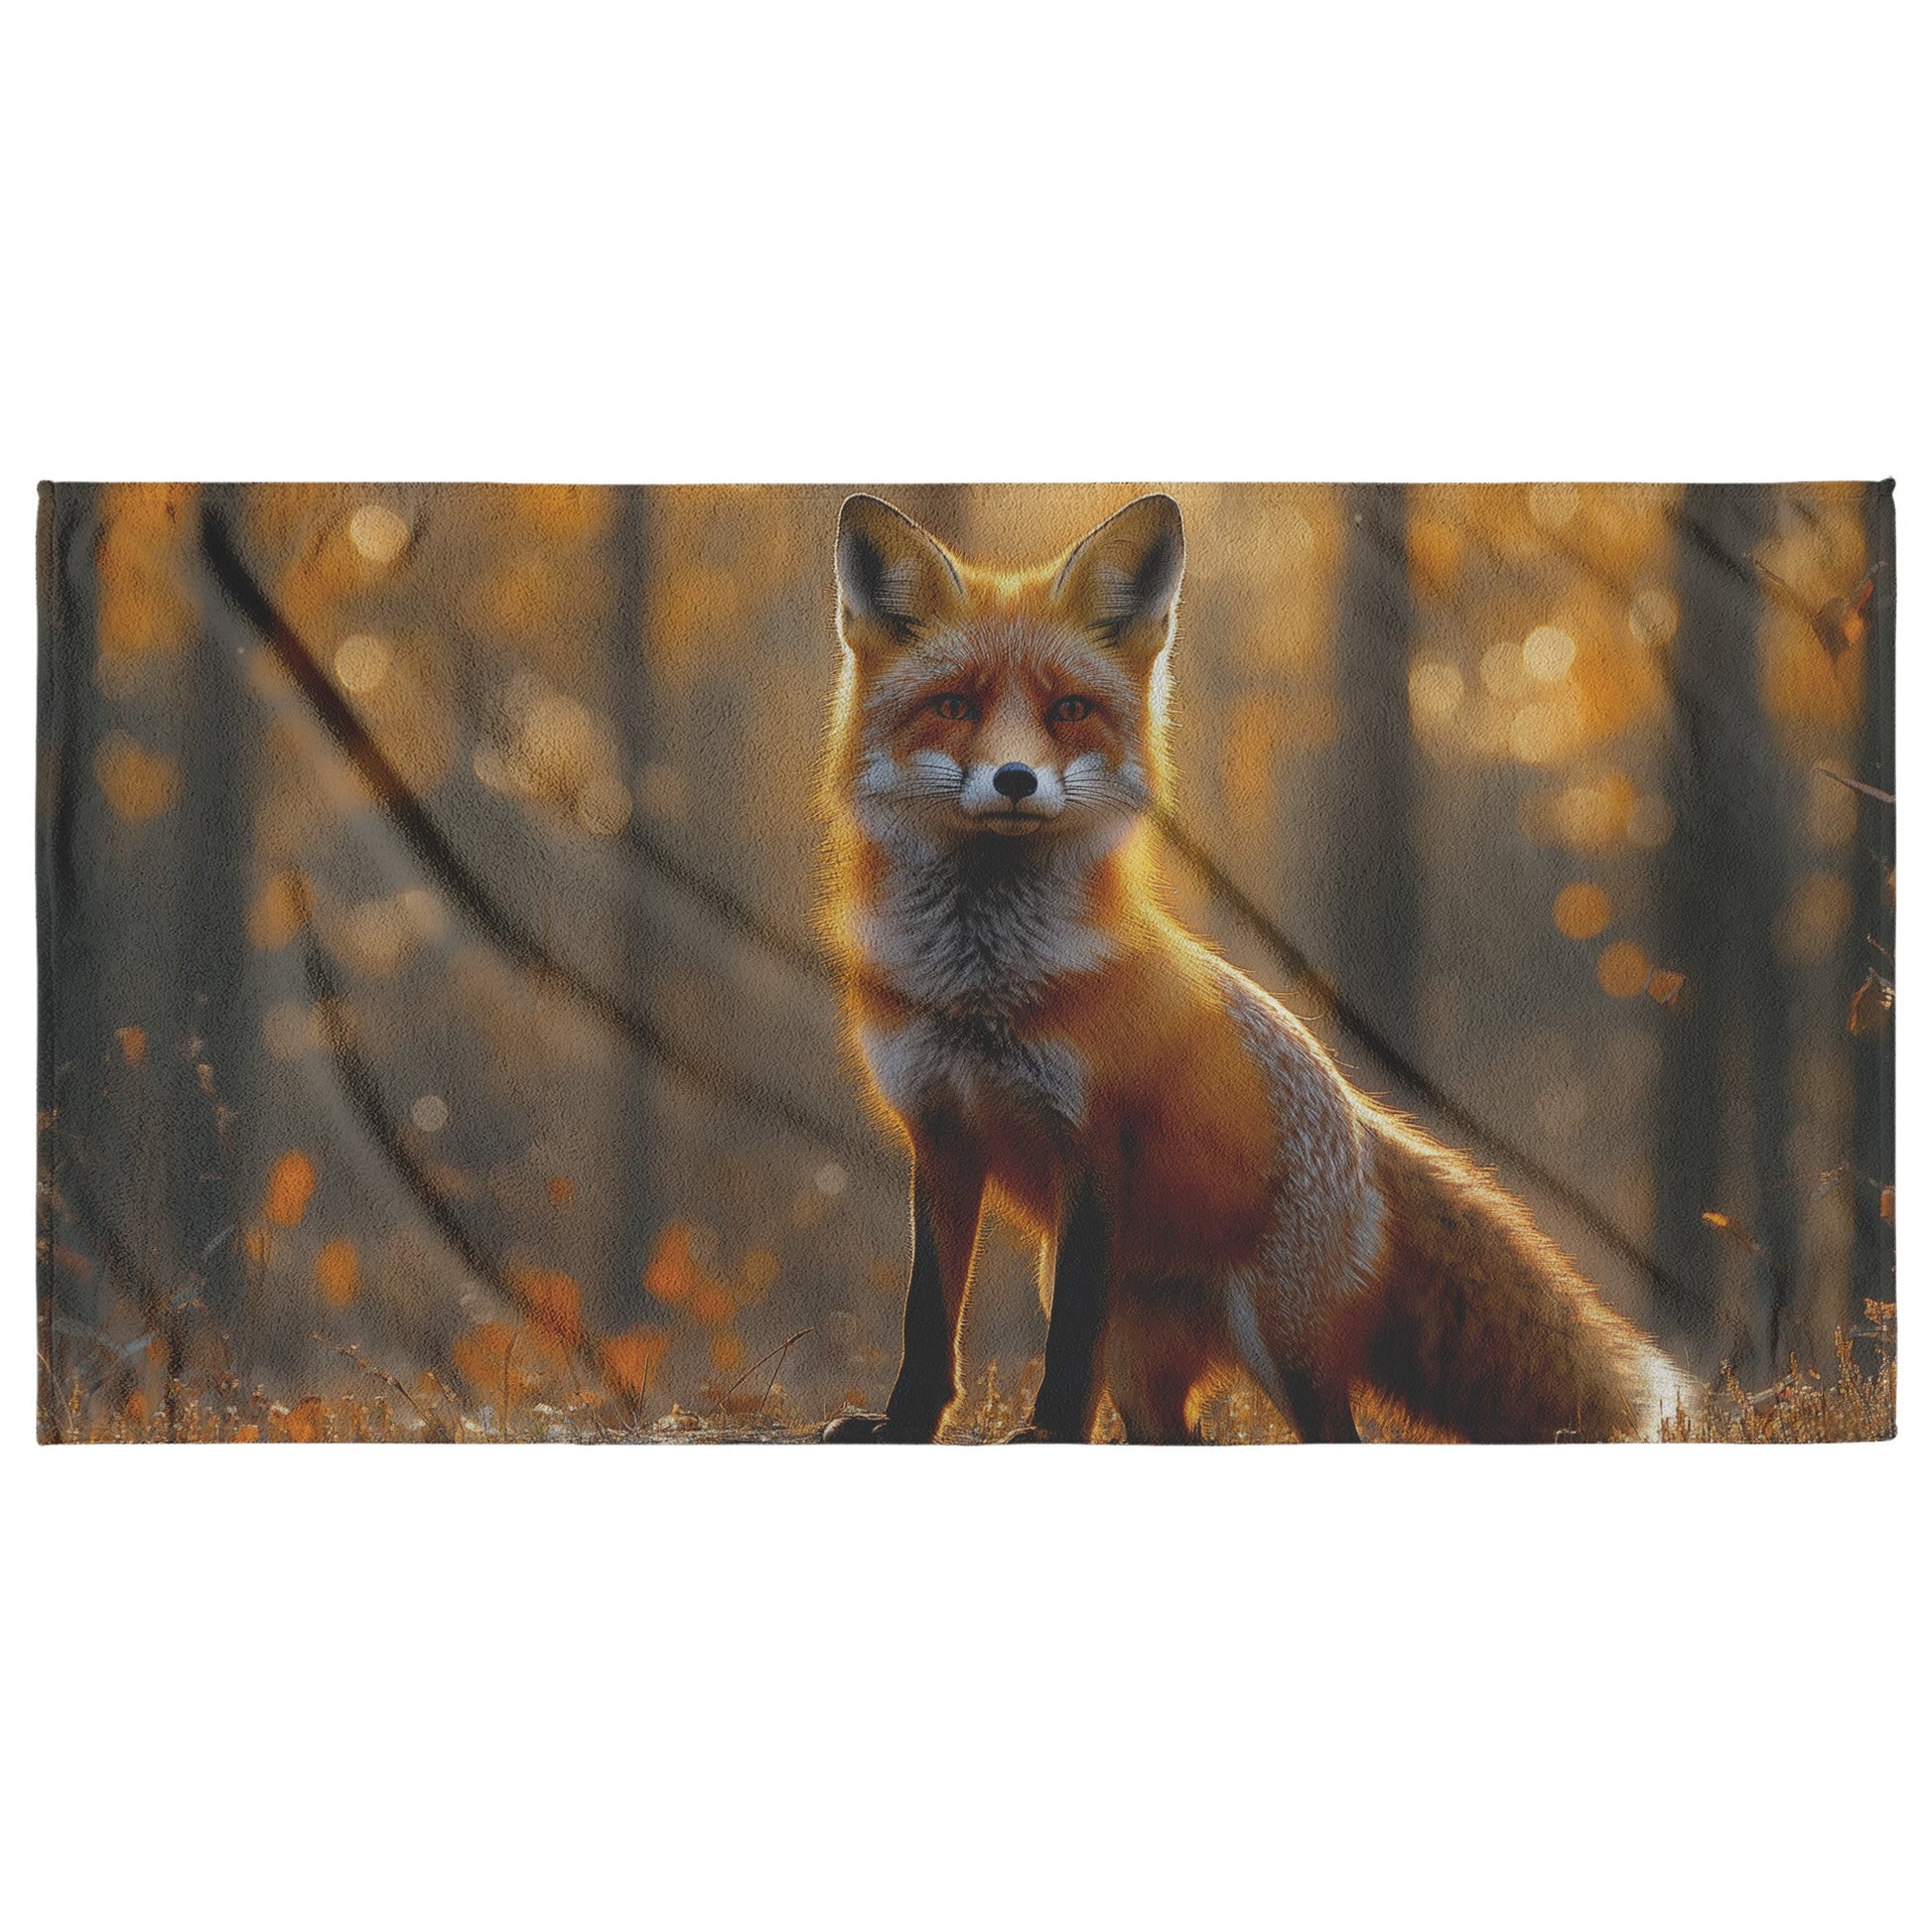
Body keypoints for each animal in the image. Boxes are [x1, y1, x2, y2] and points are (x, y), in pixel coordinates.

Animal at [819, 490, 1695, 1443]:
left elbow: (1068, 1338)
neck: (980, 986)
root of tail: (1361, 1122)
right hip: (1145, 1370)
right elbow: (927, 1317)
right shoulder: (941, 1135)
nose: (1016, 779)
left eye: (1070, 711)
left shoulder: (1095, 1143)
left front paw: (1047, 1435)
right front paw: (903, 1425)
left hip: (1287, 1350)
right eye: (953, 705)